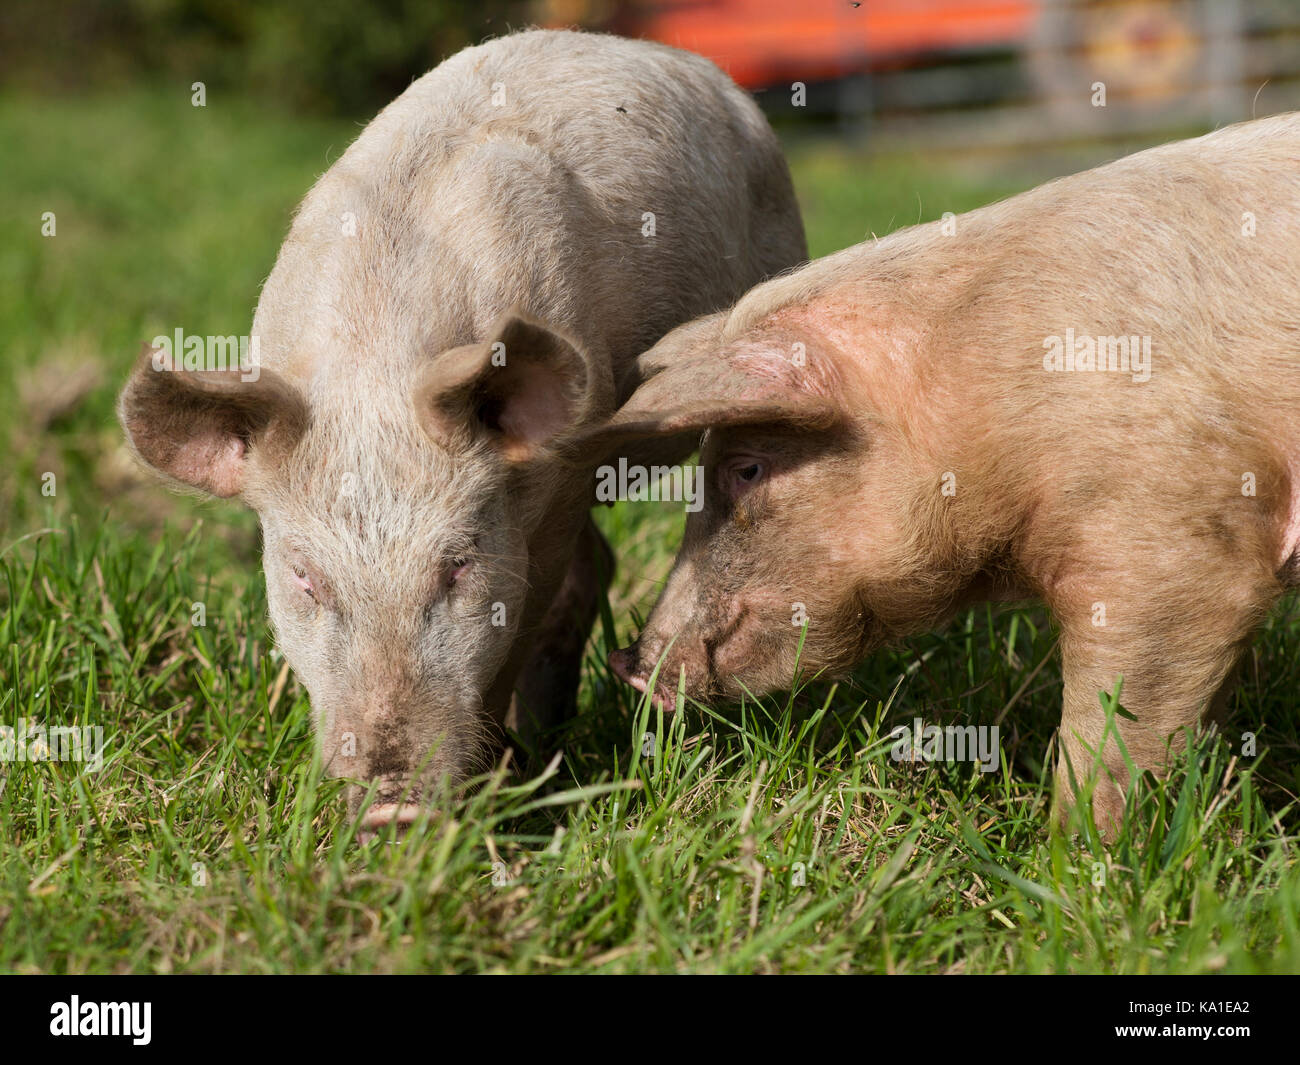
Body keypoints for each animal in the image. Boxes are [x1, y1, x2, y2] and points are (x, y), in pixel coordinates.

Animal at [117, 29, 806, 831]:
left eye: (457, 565)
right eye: (305, 578)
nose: (391, 805)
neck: (375, 367)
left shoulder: (557, 483)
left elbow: (531, 612)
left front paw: (495, 789)